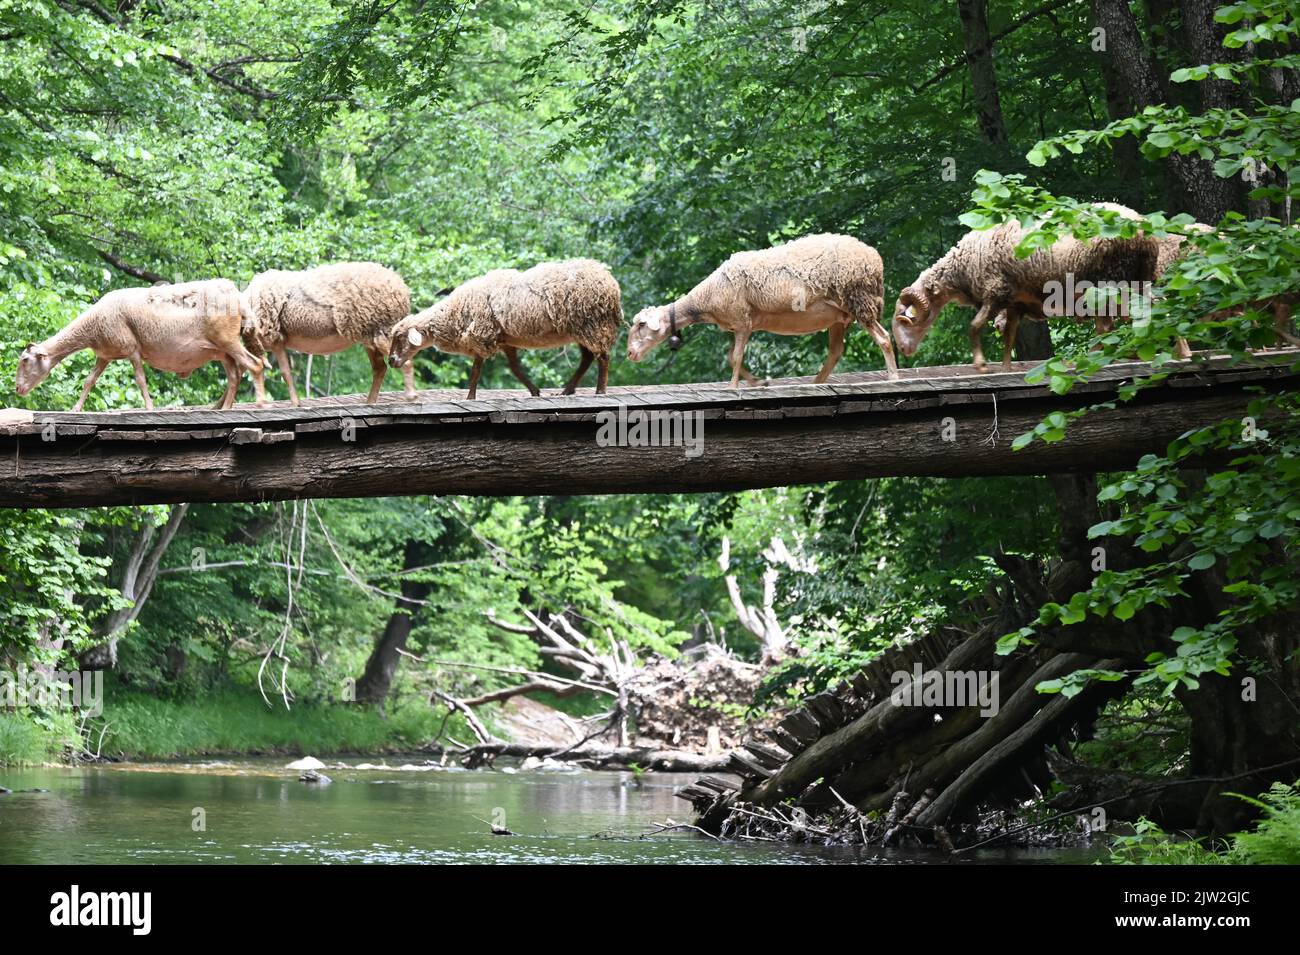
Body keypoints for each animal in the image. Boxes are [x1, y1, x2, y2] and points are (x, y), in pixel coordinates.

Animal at [15, 279, 267, 411]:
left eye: (25, 360)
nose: (18, 389)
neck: (93, 326)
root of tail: (238, 296)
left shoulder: (132, 348)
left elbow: (140, 380)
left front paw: (149, 408)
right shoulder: (105, 355)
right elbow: (89, 380)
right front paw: (76, 409)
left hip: (227, 340)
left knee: (254, 365)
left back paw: (258, 404)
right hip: (222, 348)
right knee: (235, 374)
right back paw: (224, 408)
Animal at [241, 262, 415, 406]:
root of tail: (402, 288)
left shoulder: (273, 337)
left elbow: (283, 373)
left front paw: (295, 404)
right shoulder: (276, 341)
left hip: (383, 329)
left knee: (403, 362)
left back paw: (411, 397)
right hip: (370, 336)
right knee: (380, 368)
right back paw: (370, 403)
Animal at [388, 259, 623, 399]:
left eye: (400, 338)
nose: (391, 361)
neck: (453, 313)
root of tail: (610, 282)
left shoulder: (482, 334)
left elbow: (476, 370)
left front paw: (470, 397)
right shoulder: (504, 340)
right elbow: (515, 368)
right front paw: (534, 391)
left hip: (592, 325)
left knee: (602, 357)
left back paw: (600, 390)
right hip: (581, 329)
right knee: (587, 358)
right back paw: (567, 390)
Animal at [626, 233, 892, 385]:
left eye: (641, 324)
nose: (630, 354)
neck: (705, 299)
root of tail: (874, 258)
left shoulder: (742, 320)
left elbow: (735, 357)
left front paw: (733, 388)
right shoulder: (739, 324)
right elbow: (730, 357)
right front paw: (758, 383)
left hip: (858, 300)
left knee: (884, 338)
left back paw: (893, 377)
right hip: (839, 316)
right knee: (836, 351)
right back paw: (816, 383)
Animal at [893, 205, 1162, 371]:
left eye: (908, 320)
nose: (904, 350)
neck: (964, 266)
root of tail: (1144, 231)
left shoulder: (995, 292)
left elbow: (974, 326)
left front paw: (981, 365)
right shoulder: (1014, 303)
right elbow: (1009, 338)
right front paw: (1004, 369)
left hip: (1108, 282)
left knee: (1107, 326)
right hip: (1138, 279)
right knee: (1148, 314)